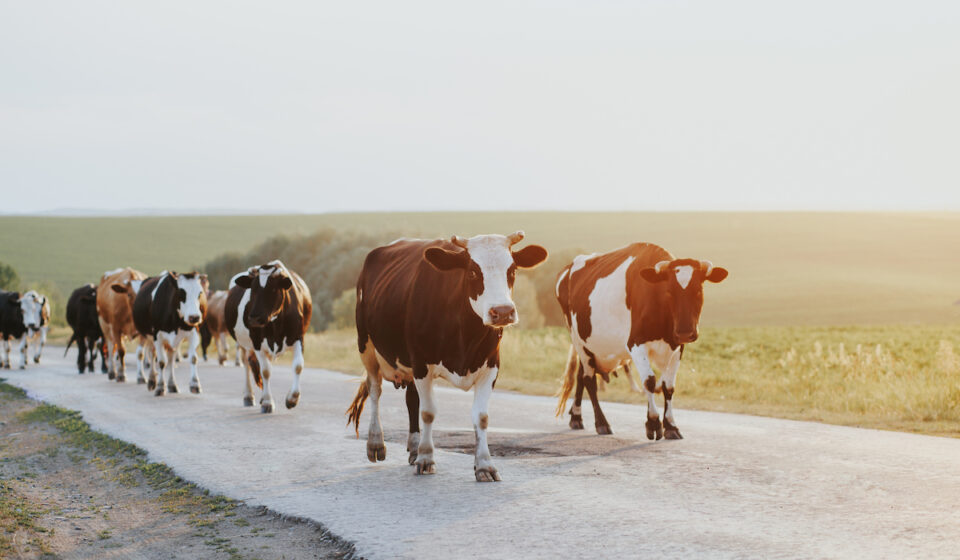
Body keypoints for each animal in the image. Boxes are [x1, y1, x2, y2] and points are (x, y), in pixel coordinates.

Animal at [224, 261, 312, 413]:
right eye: (252, 289)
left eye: (273, 289)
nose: (254, 318)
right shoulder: (257, 342)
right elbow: (265, 371)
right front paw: (267, 402)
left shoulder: (298, 337)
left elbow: (298, 366)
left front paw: (292, 399)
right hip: (243, 343)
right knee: (246, 364)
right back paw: (249, 396)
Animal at [346, 232, 547, 482]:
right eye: (472, 271)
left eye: (512, 270)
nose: (502, 312)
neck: (466, 336)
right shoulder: (421, 362)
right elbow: (428, 412)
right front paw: (426, 458)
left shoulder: (491, 366)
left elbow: (481, 417)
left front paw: (484, 464)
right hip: (366, 345)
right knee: (375, 390)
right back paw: (376, 443)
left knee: (411, 400)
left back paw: (413, 447)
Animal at [554, 243, 727, 439]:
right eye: (669, 292)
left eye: (698, 291)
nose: (685, 332)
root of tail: (568, 268)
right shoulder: (635, 343)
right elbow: (649, 381)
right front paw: (653, 422)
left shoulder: (677, 346)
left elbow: (668, 386)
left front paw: (671, 426)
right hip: (579, 342)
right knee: (589, 380)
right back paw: (602, 423)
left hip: (589, 347)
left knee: (580, 376)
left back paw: (576, 417)